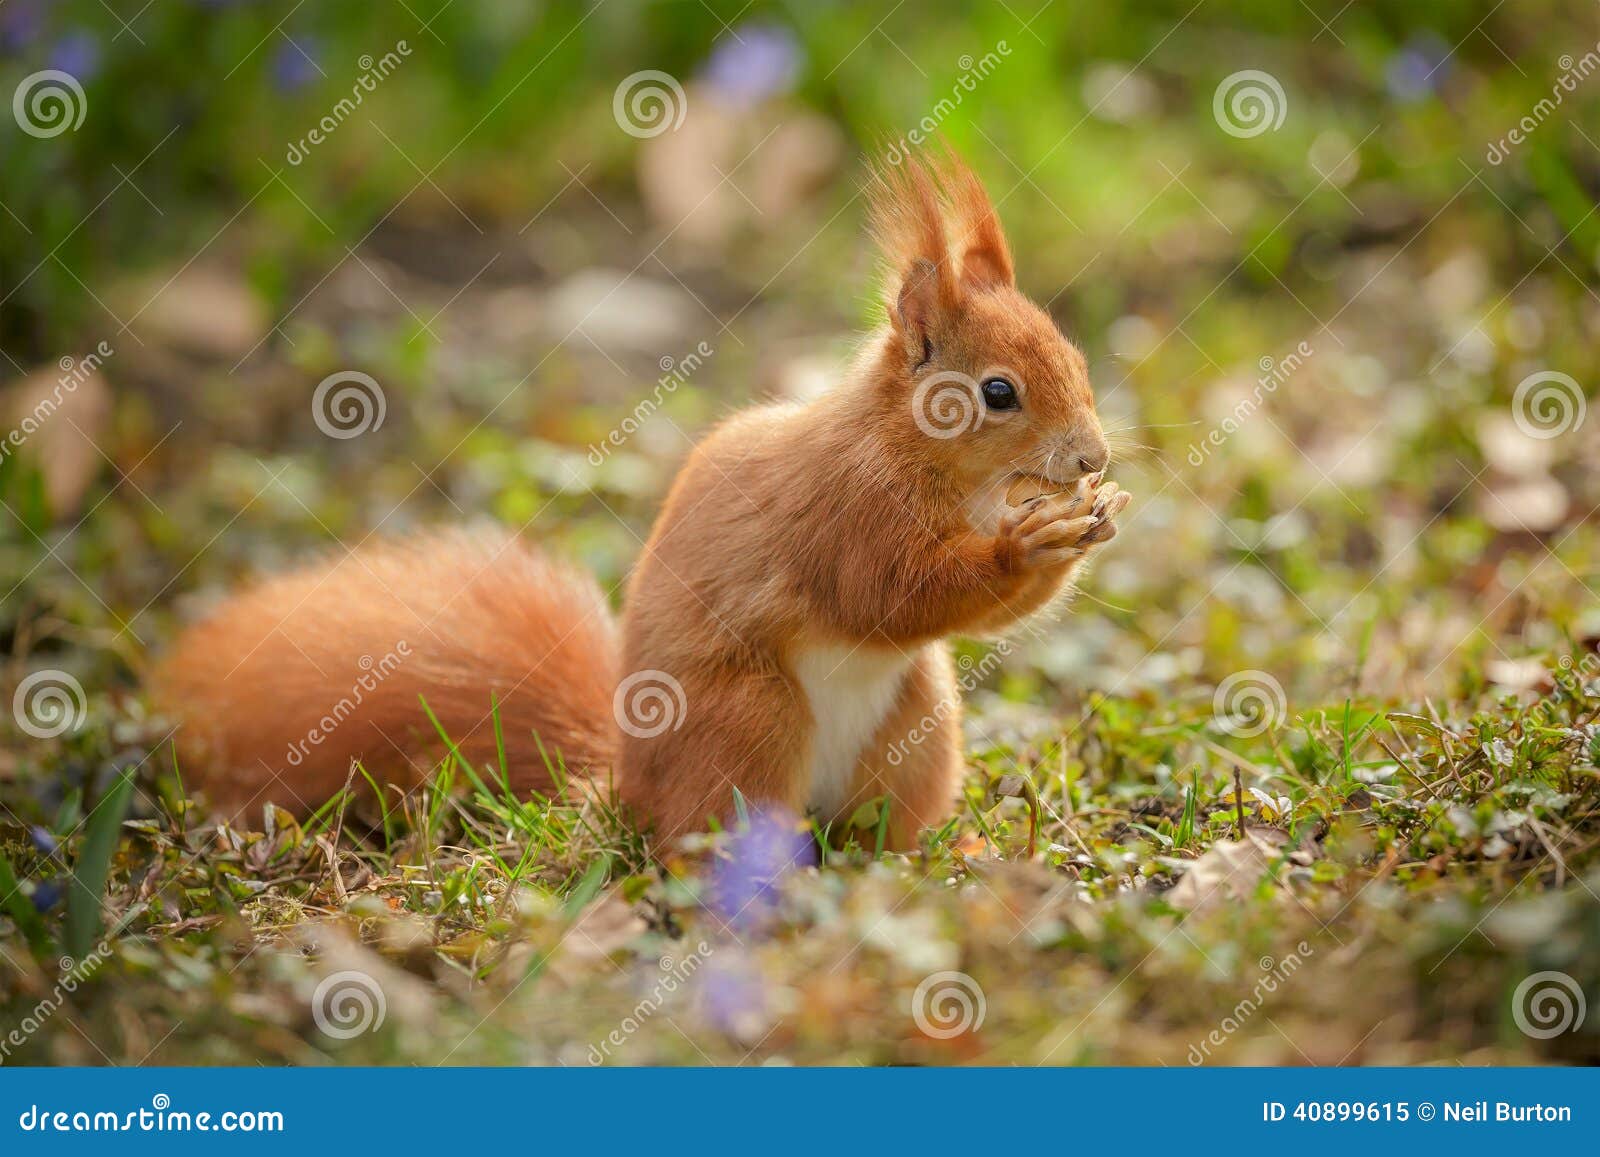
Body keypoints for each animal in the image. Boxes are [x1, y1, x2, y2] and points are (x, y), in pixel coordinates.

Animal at [152, 153, 1130, 851]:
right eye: (998, 393)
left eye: (1077, 359)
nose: (1094, 454)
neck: (937, 468)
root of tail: (623, 778)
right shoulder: (843, 510)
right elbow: (888, 593)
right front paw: (1027, 544)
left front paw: (1096, 514)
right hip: (747, 720)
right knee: (703, 834)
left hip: (918, 725)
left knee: (872, 825)